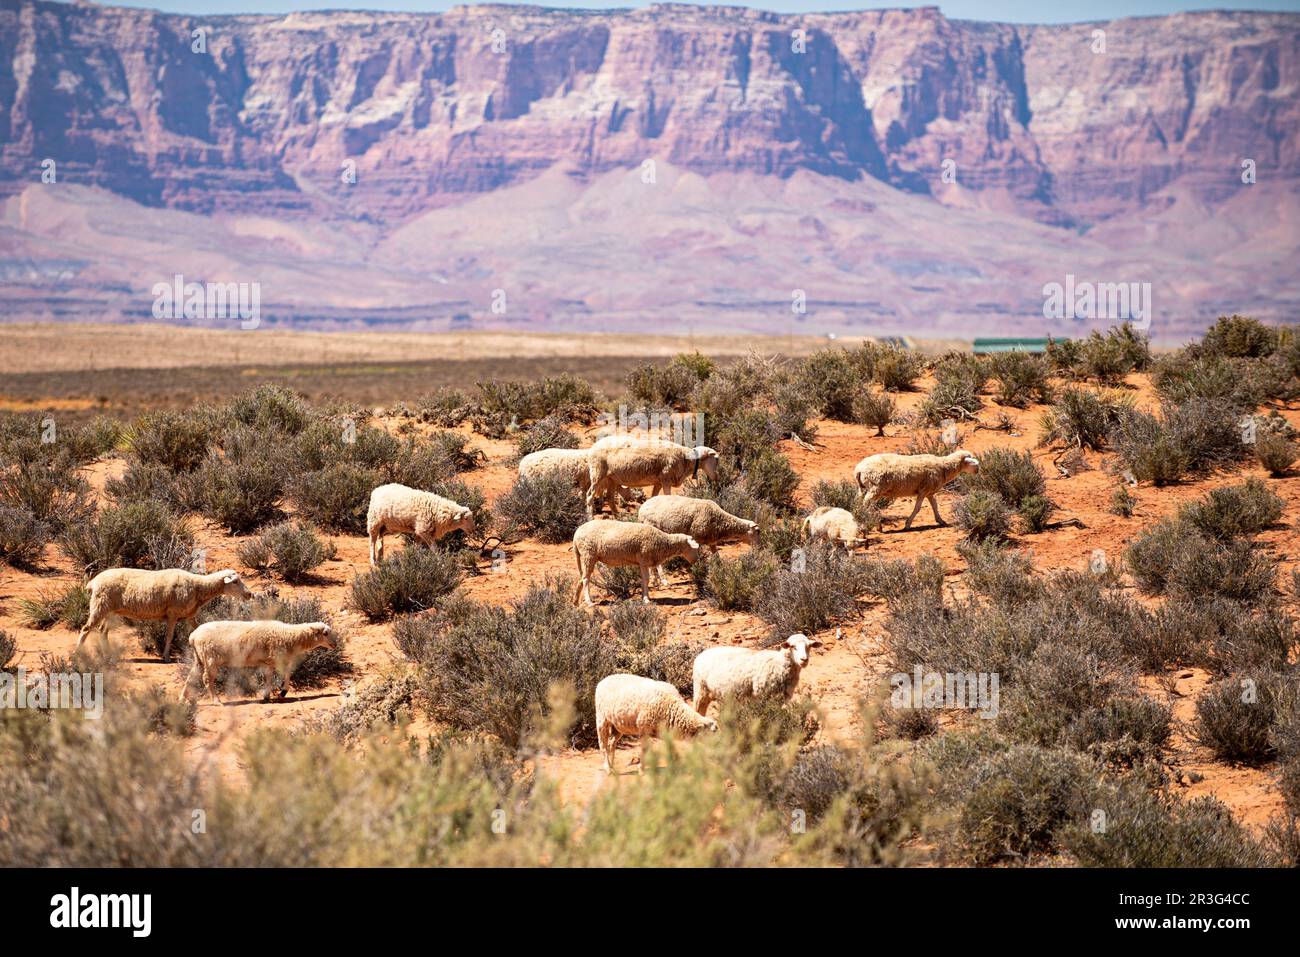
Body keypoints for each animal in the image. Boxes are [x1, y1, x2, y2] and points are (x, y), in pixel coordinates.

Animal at [75, 567, 253, 662]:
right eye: (235, 581)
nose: (249, 594)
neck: (198, 587)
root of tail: (93, 581)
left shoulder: (189, 614)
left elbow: (197, 629)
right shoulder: (173, 614)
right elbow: (169, 636)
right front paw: (166, 657)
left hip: (110, 610)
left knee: (102, 631)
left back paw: (109, 655)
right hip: (99, 606)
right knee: (85, 629)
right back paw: (77, 654)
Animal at [182, 620, 335, 704]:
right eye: (325, 633)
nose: (335, 644)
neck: (289, 636)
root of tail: (193, 636)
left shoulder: (267, 662)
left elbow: (268, 677)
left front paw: (267, 696)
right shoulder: (277, 657)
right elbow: (287, 673)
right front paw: (283, 692)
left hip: (199, 658)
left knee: (191, 677)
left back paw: (182, 699)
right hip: (210, 659)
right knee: (206, 679)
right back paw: (216, 701)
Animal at [572, 519, 701, 606]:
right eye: (693, 548)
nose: (696, 560)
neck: (663, 542)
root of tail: (576, 534)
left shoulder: (643, 562)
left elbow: (644, 579)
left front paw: (645, 596)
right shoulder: (644, 559)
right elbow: (646, 579)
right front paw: (646, 599)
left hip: (585, 556)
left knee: (581, 578)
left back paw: (575, 601)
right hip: (589, 554)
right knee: (586, 579)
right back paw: (589, 602)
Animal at [586, 443, 720, 516]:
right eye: (717, 459)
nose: (717, 477)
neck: (686, 459)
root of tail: (593, 447)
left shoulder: (659, 482)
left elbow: (653, 498)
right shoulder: (666, 480)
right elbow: (667, 498)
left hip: (611, 478)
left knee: (609, 497)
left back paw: (618, 516)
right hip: (597, 473)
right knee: (589, 496)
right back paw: (590, 516)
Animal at [691, 634, 823, 715]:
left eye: (809, 647)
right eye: (793, 647)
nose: (804, 660)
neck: (778, 663)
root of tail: (701, 654)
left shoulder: (782, 697)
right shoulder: (761, 694)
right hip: (700, 690)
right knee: (698, 710)